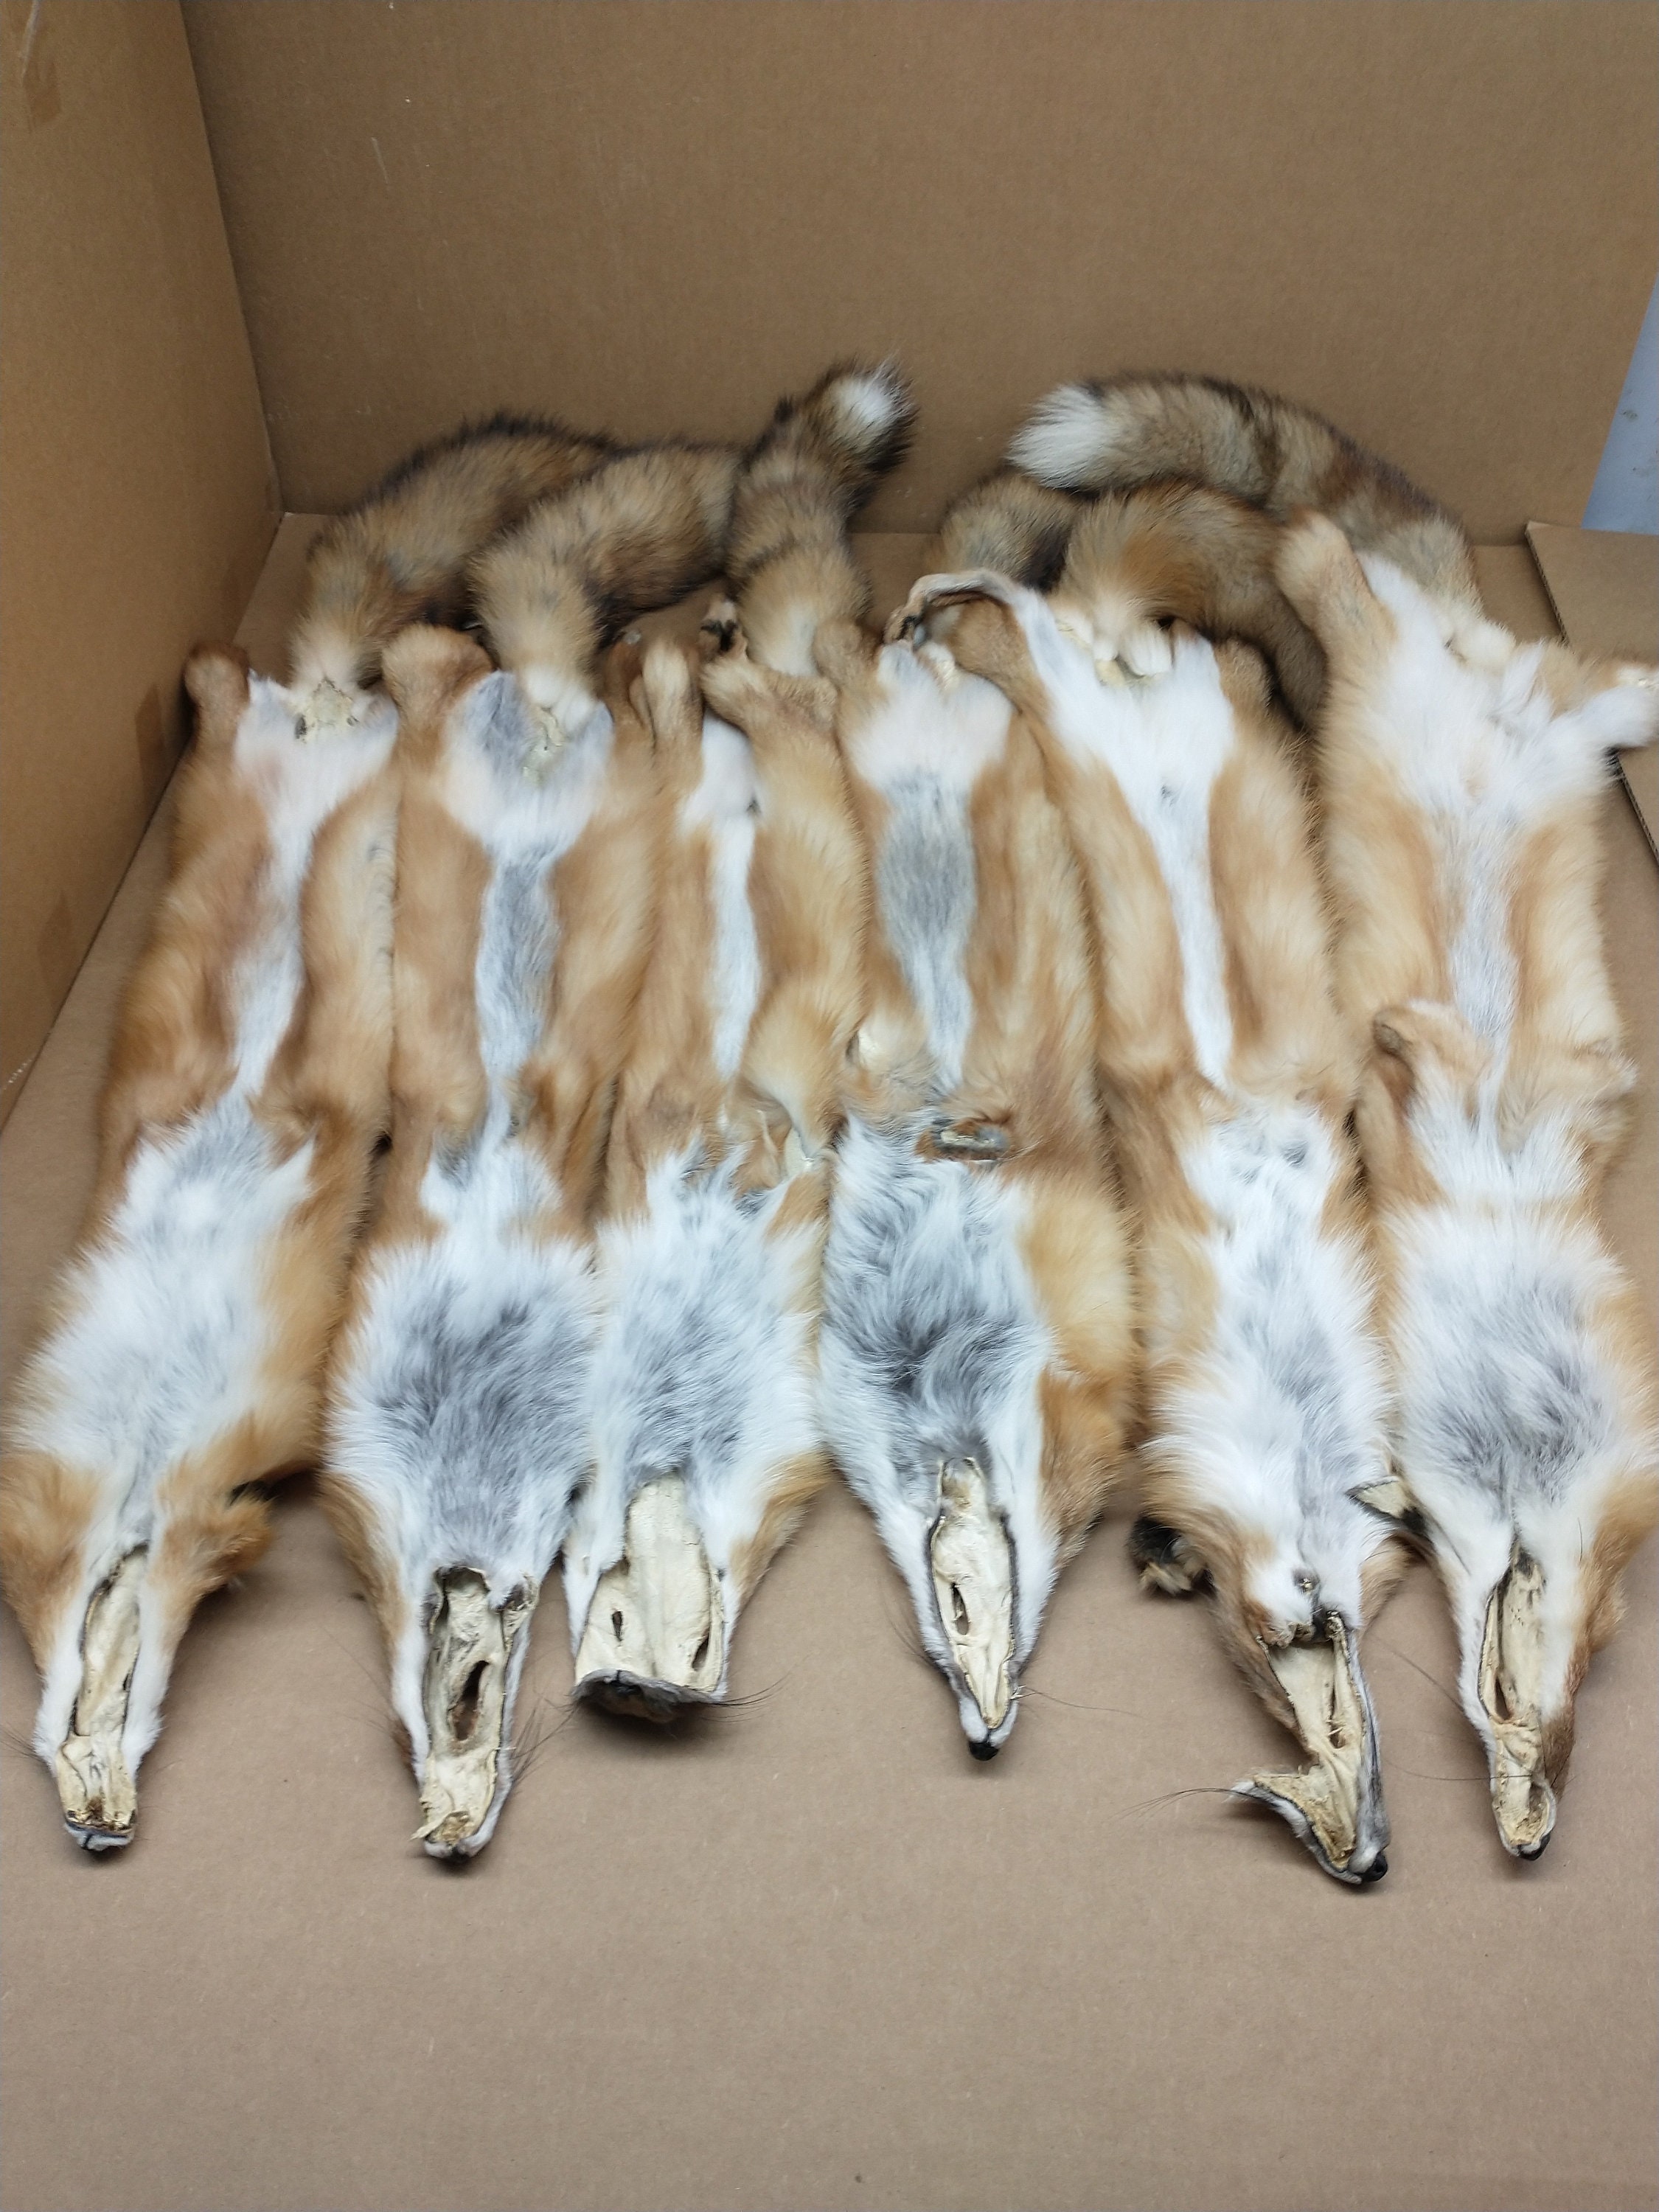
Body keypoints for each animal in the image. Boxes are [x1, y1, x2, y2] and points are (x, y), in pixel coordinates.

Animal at [560, 361, 913, 1716]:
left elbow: (761, 1127)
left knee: (768, 702)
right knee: (709, 709)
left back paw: (703, 663)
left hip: (802, 827)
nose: (635, 1689)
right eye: (598, 1613)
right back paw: (685, 659)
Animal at [891, 476, 1404, 1880]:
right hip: (1068, 703)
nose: (1371, 1863)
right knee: (1029, 613)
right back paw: (929, 606)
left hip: (1150, 690)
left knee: (1056, 609)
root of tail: (1129, 662)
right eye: (1258, 1655)